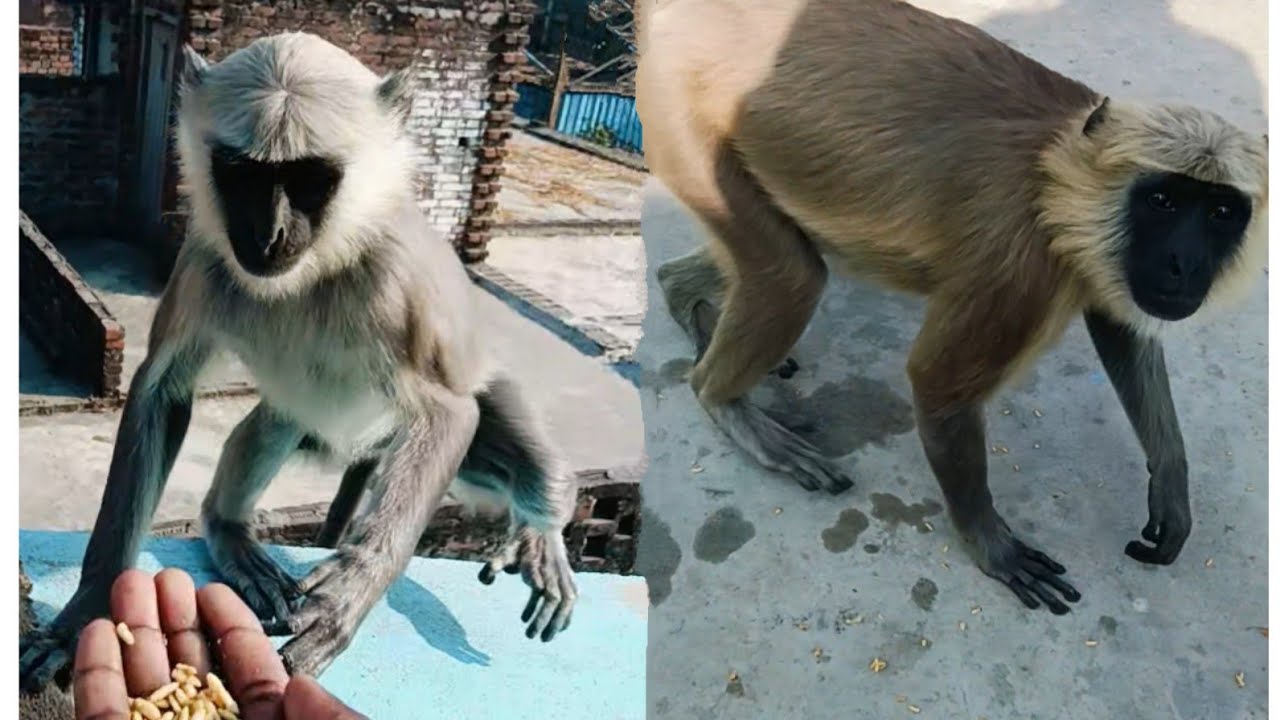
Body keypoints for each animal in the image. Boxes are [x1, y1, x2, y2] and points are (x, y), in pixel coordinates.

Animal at [19, 32, 580, 690]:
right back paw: (232, 533)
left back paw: (543, 528)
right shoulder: (204, 252)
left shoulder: (396, 275)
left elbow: (449, 413)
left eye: (309, 180)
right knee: (276, 422)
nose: (269, 235)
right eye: (243, 175)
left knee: (508, 442)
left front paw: (346, 599)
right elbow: (164, 391)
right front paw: (87, 609)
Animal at [635, 0, 1268, 614]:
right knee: (792, 276)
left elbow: (1117, 323)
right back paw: (720, 397)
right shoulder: (1018, 264)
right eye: (1163, 202)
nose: (1184, 264)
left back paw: (687, 305)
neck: (1054, 174)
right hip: (679, 114)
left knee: (780, 261)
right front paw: (989, 543)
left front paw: (1170, 480)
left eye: (1219, 214)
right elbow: (936, 380)